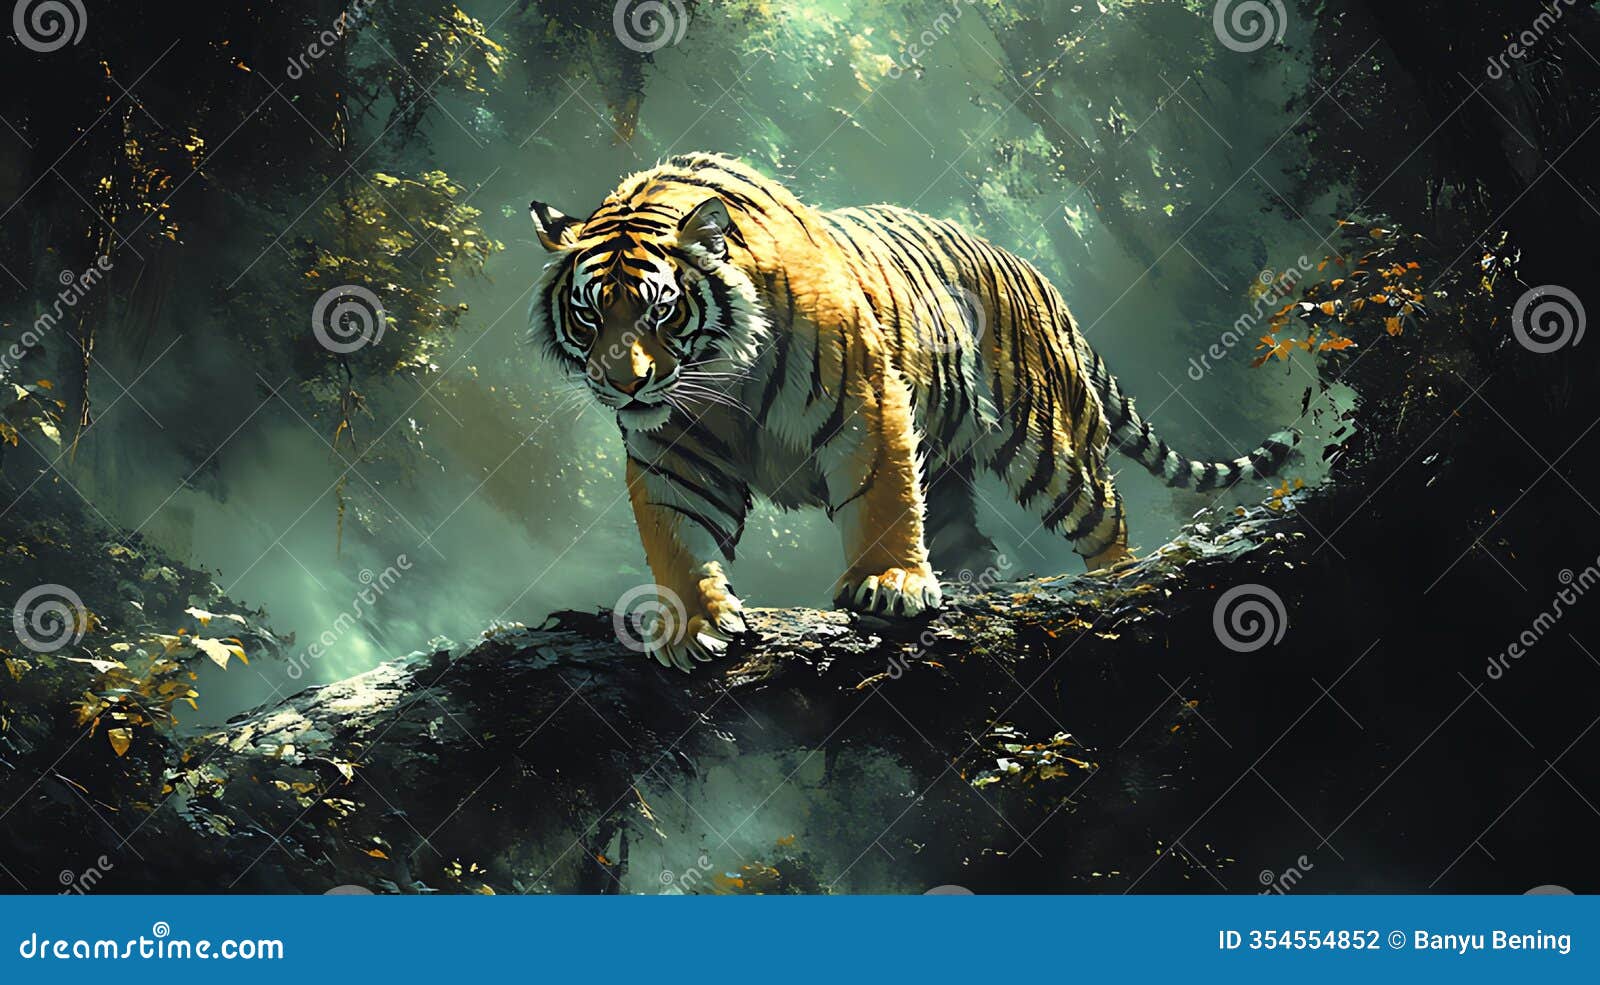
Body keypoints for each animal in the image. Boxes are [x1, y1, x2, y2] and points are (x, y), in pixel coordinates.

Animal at [528, 152, 1295, 672]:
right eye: (590, 315)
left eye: (659, 310)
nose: (623, 385)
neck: (716, 375)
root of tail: (1044, 281)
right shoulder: (672, 447)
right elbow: (678, 531)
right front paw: (690, 625)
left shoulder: (863, 402)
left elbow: (880, 500)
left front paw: (885, 584)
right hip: (952, 472)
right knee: (969, 539)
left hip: (1051, 447)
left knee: (1105, 519)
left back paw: (1112, 585)